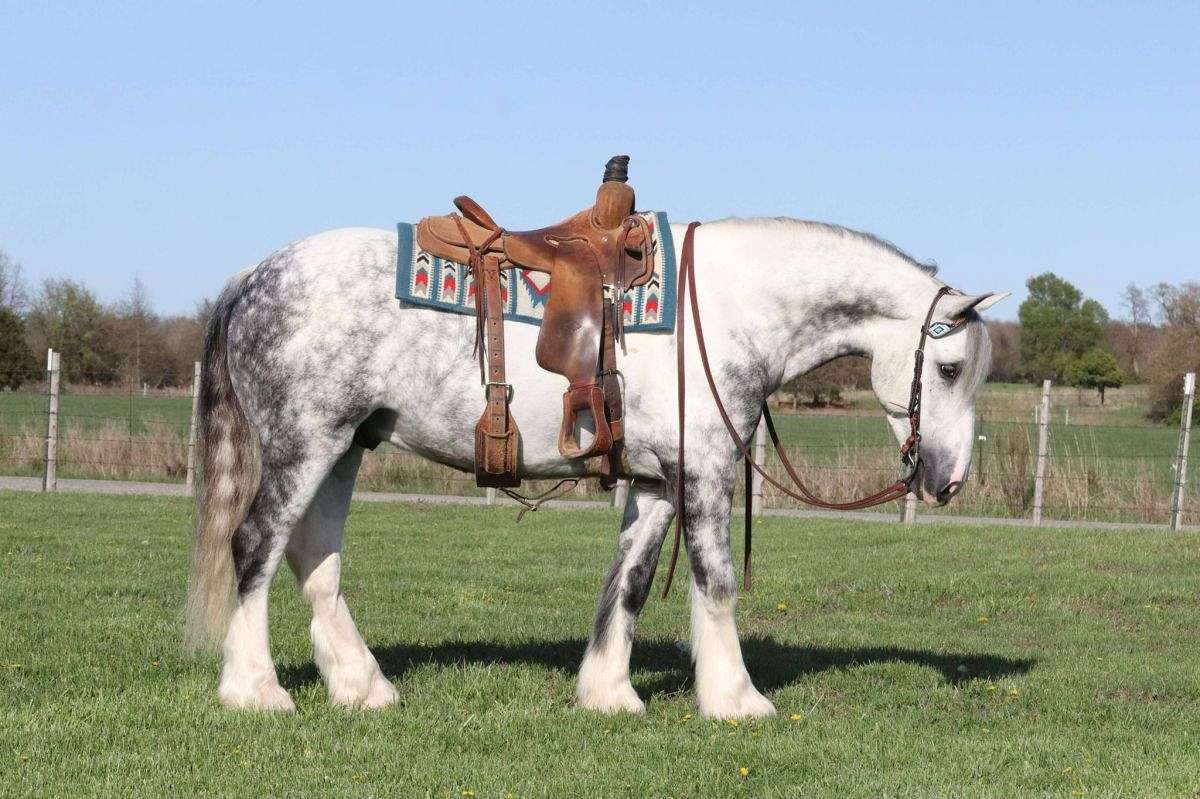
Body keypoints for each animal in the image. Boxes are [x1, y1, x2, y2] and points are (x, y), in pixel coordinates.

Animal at [184, 217, 1006, 717]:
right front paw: (735, 699)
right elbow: (717, 582)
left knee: (314, 556)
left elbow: (631, 582)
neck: (731, 307)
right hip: (304, 444)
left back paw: (361, 685)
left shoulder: (657, 480)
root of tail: (251, 276)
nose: (947, 479)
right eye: (949, 366)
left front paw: (609, 692)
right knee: (255, 546)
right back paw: (255, 689)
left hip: (345, 446)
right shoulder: (706, 471)